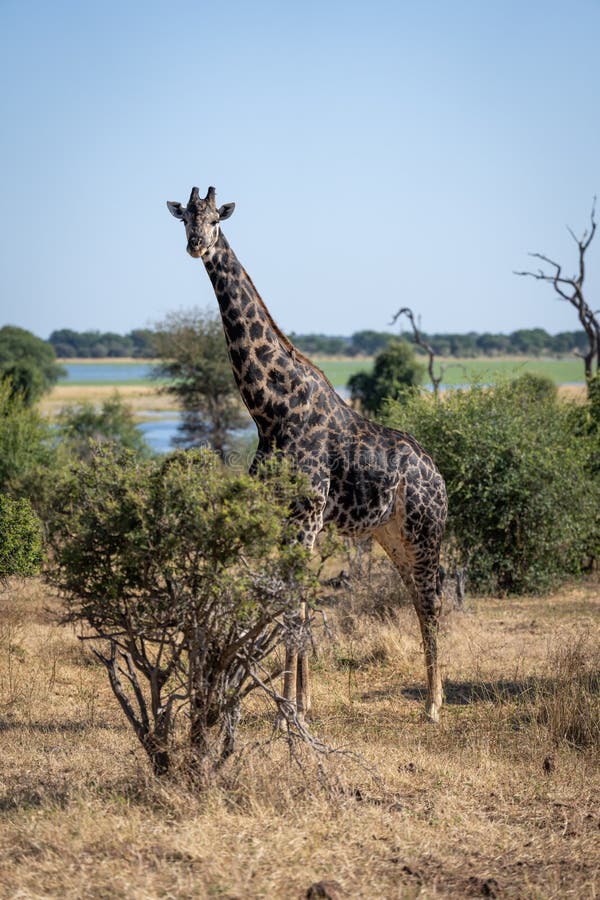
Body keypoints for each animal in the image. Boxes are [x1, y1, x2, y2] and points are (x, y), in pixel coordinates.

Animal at [167, 186, 448, 723]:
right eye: (185, 218)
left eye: (215, 220)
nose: (195, 245)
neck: (269, 408)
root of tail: (440, 477)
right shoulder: (286, 519)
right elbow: (289, 602)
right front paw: (299, 703)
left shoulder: (307, 518)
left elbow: (293, 605)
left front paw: (289, 712)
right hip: (392, 534)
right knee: (418, 599)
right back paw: (429, 698)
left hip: (426, 532)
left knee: (433, 602)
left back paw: (433, 706)